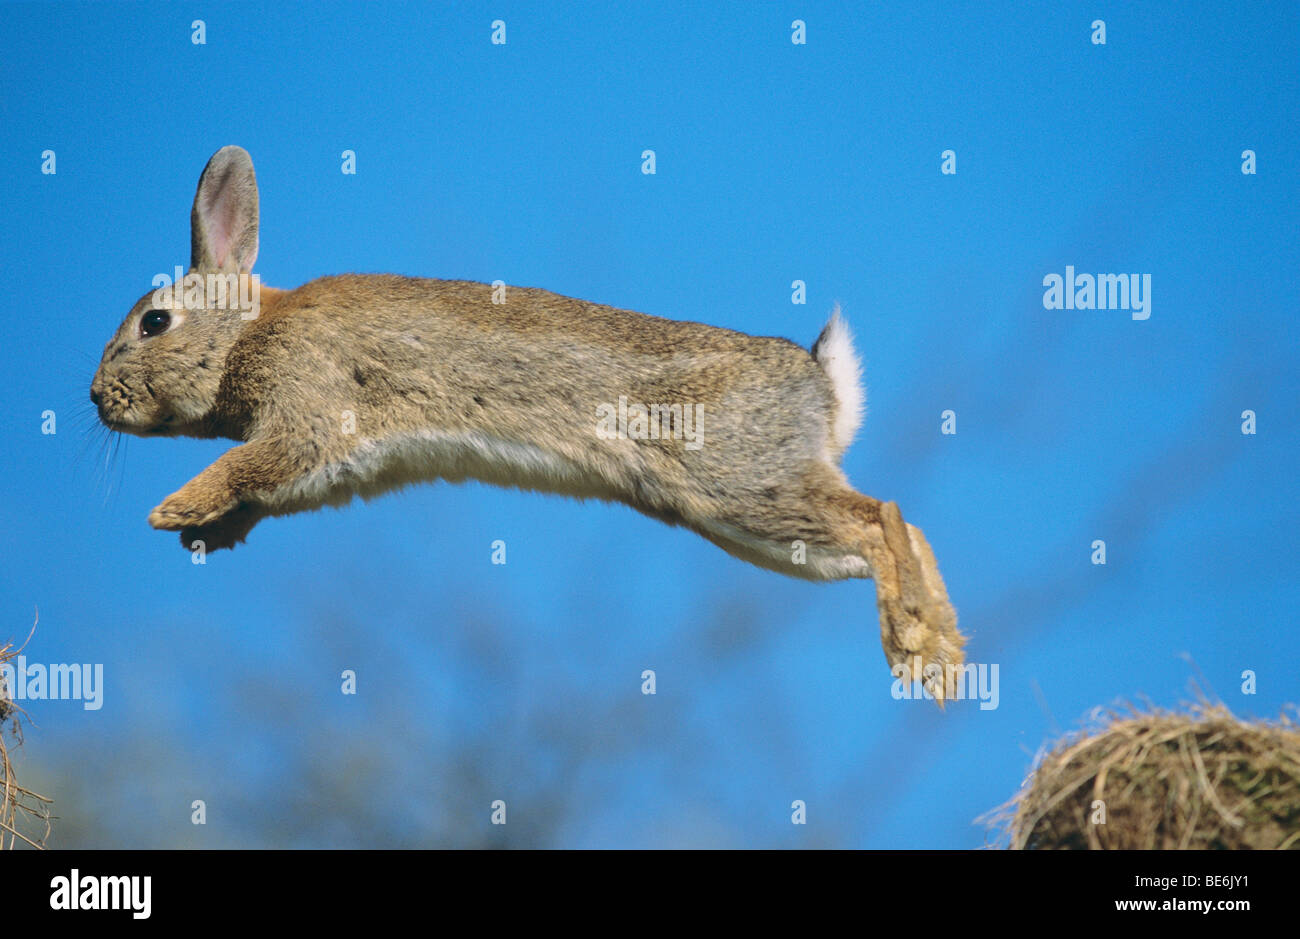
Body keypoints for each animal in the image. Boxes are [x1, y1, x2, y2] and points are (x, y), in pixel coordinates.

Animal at [91, 146, 966, 701]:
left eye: (155, 322)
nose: (98, 398)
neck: (246, 334)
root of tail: (822, 381)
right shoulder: (326, 465)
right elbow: (264, 491)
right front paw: (202, 536)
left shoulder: (309, 411)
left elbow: (251, 465)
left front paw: (171, 510)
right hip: (758, 528)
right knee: (900, 529)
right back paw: (946, 657)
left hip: (742, 484)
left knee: (881, 520)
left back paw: (916, 650)